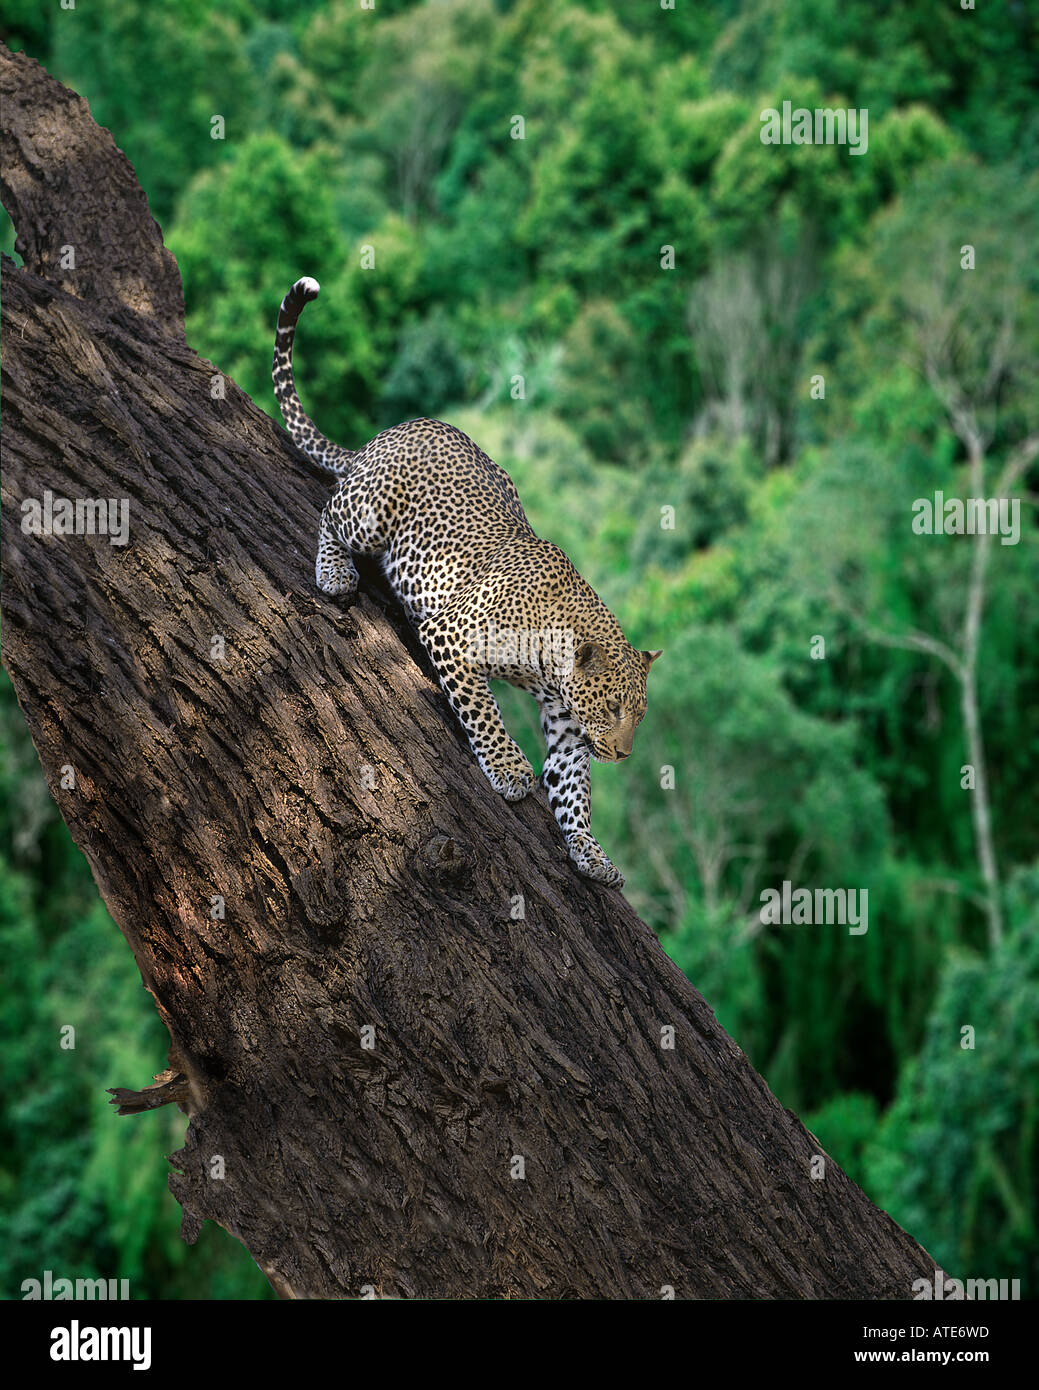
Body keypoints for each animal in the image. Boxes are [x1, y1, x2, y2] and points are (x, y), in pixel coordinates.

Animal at [272, 277, 661, 887]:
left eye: (638, 716)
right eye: (614, 709)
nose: (623, 754)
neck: (552, 659)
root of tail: (394, 431)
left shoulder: (568, 729)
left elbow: (573, 790)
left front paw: (591, 853)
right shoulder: (452, 635)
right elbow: (485, 711)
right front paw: (509, 769)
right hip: (372, 510)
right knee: (330, 512)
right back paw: (335, 572)